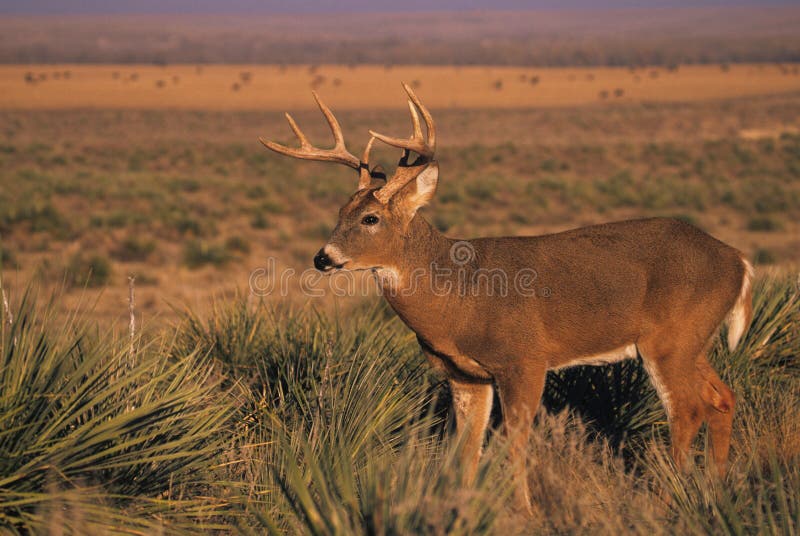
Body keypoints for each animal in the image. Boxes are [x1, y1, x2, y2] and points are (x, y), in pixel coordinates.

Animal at [259, 83, 754, 514]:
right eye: (339, 212)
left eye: (370, 218)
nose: (322, 258)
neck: (458, 296)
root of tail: (739, 260)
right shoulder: (463, 374)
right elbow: (467, 450)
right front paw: (462, 509)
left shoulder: (525, 360)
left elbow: (514, 445)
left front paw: (525, 511)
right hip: (692, 341)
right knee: (722, 398)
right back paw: (716, 489)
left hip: (669, 341)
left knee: (688, 410)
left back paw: (668, 501)